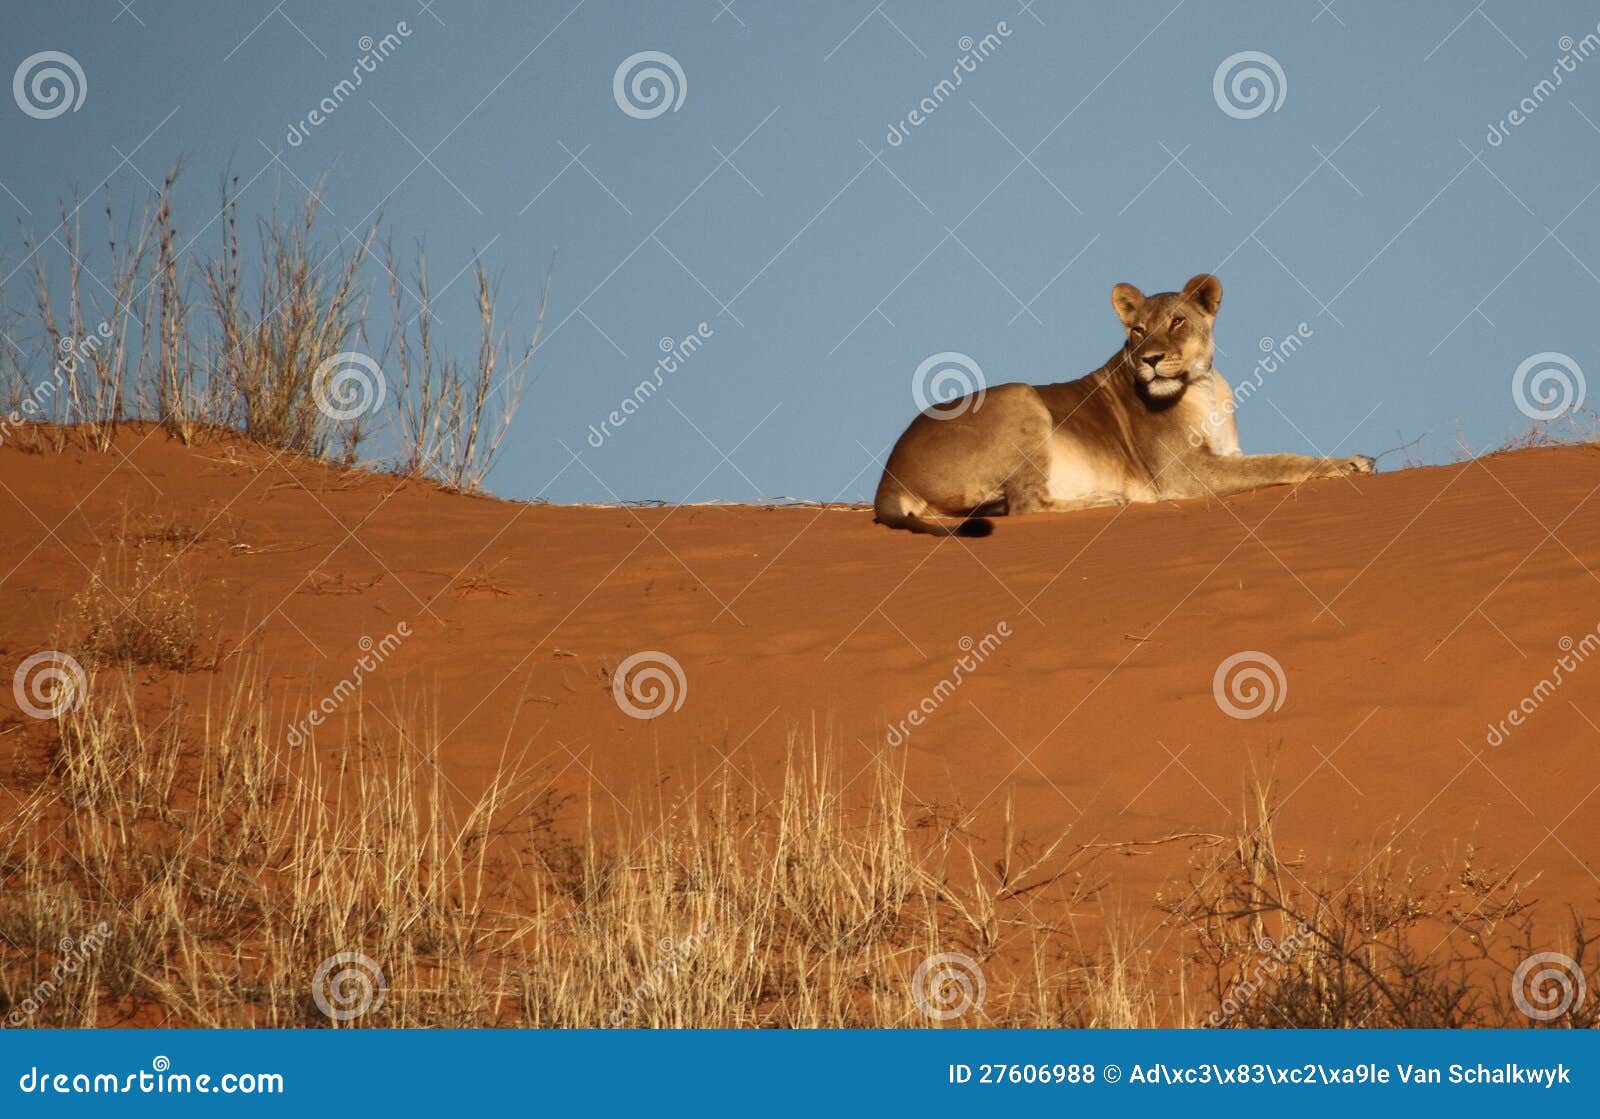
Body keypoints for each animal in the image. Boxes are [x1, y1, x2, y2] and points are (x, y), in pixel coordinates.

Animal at [873, 273, 1373, 536]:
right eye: (1137, 331)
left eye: (1177, 322)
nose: (1150, 359)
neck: (1203, 386)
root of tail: (887, 477)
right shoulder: (1184, 473)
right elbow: (1277, 462)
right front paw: (1348, 464)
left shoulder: (1223, 454)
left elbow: (1264, 460)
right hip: (1021, 395)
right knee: (1026, 505)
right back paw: (1110, 498)